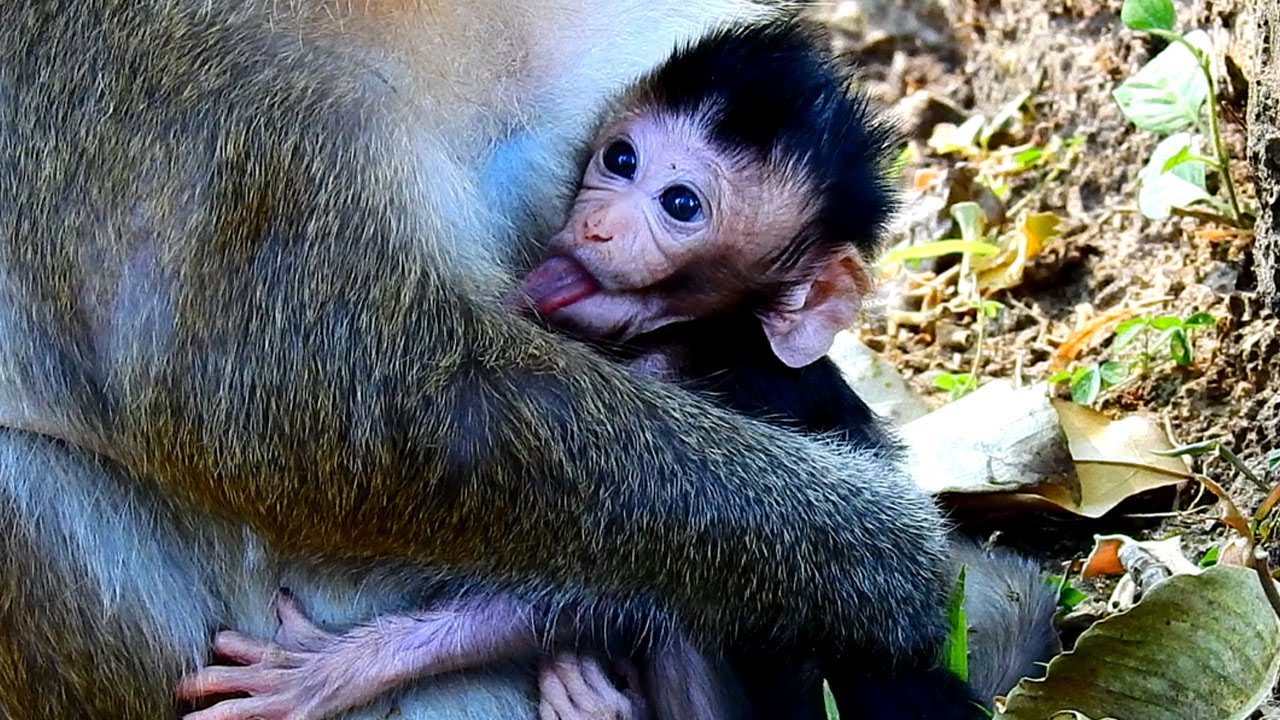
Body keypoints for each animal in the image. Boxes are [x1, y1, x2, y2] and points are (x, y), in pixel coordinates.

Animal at [174, 19, 1057, 720]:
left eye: (681, 205)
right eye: (620, 159)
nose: (596, 226)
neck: (711, 333)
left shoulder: (701, 376)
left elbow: (633, 576)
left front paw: (344, 671)